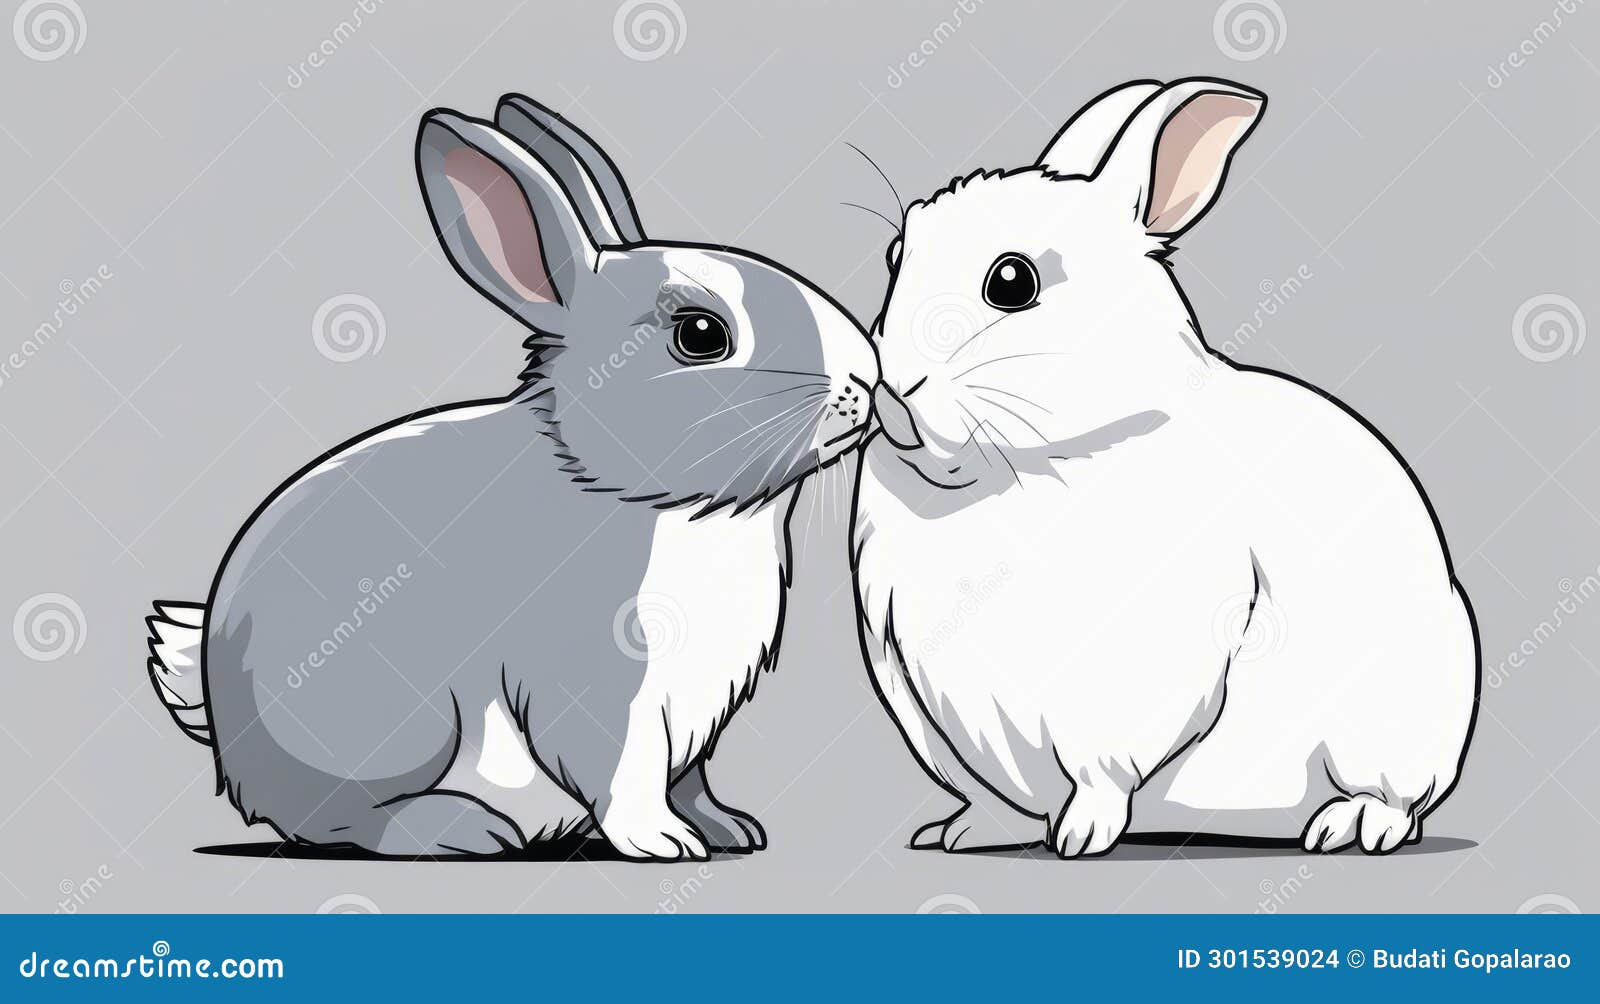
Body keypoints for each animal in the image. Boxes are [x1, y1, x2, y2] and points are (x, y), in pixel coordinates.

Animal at [146, 95, 878, 860]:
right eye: (701, 334)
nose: (868, 386)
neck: (629, 491)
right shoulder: (600, 684)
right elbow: (620, 771)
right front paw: (663, 843)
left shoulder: (694, 715)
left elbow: (690, 779)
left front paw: (729, 829)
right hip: (394, 729)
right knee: (345, 819)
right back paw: (461, 830)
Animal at [853, 78, 1479, 857]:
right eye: (894, 252)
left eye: (1012, 282)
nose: (891, 389)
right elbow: (988, 795)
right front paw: (956, 834)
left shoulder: (1126, 688)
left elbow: (1100, 776)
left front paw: (1078, 838)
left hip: (1398, 723)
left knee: (1397, 795)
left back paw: (1351, 825)